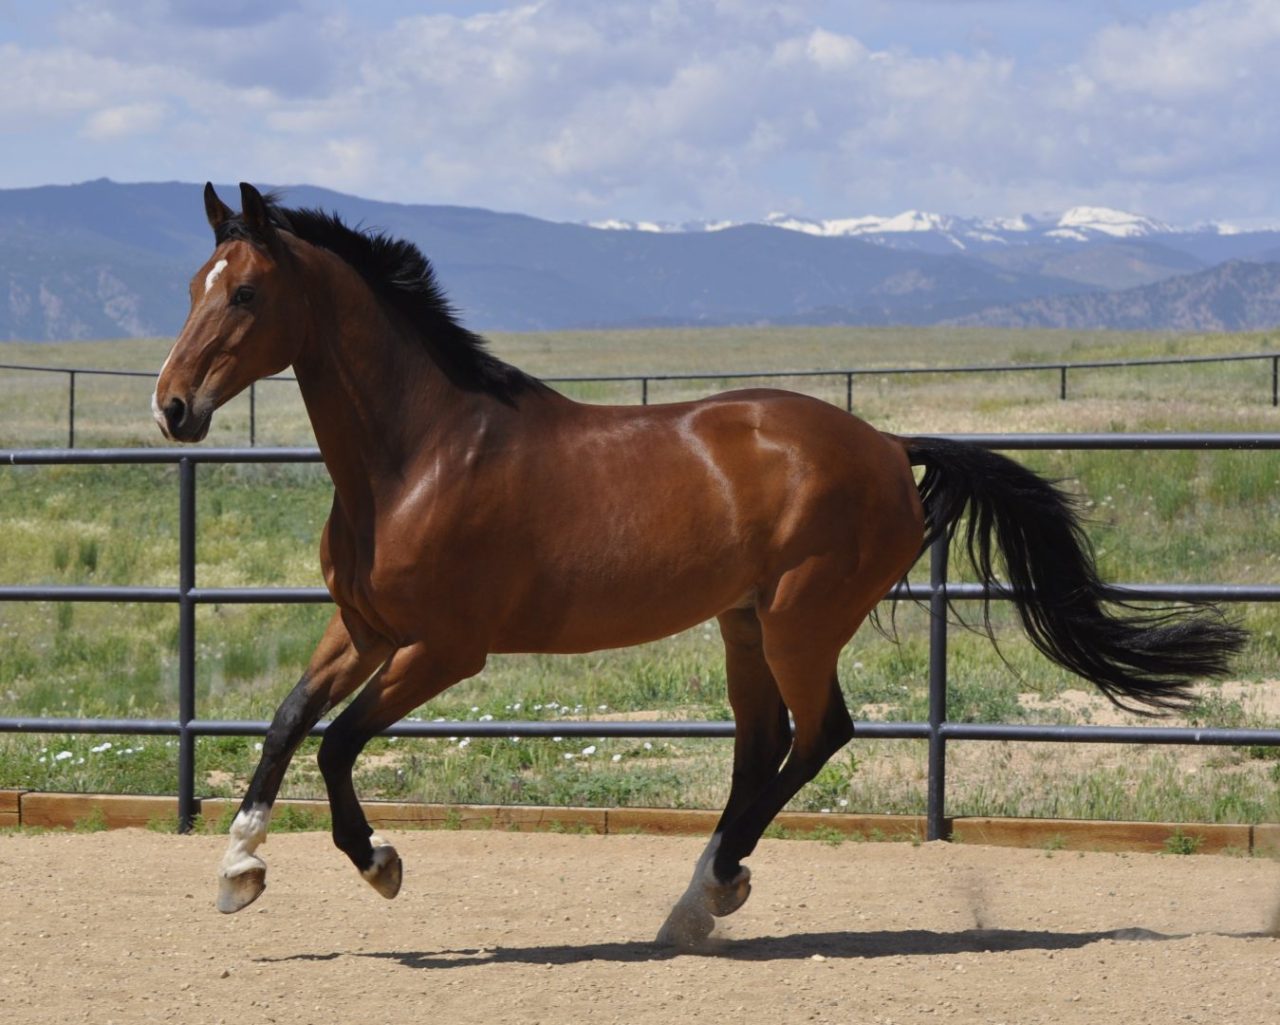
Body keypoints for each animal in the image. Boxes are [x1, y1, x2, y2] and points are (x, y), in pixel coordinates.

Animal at [153, 182, 1245, 947]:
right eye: (194, 285)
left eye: (245, 291)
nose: (172, 407)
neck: (419, 454)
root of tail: (888, 447)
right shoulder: (367, 626)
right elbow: (288, 719)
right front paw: (238, 866)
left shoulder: (445, 649)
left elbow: (337, 742)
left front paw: (378, 862)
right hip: (744, 622)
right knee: (763, 744)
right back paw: (701, 897)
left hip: (801, 617)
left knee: (819, 732)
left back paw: (711, 889)